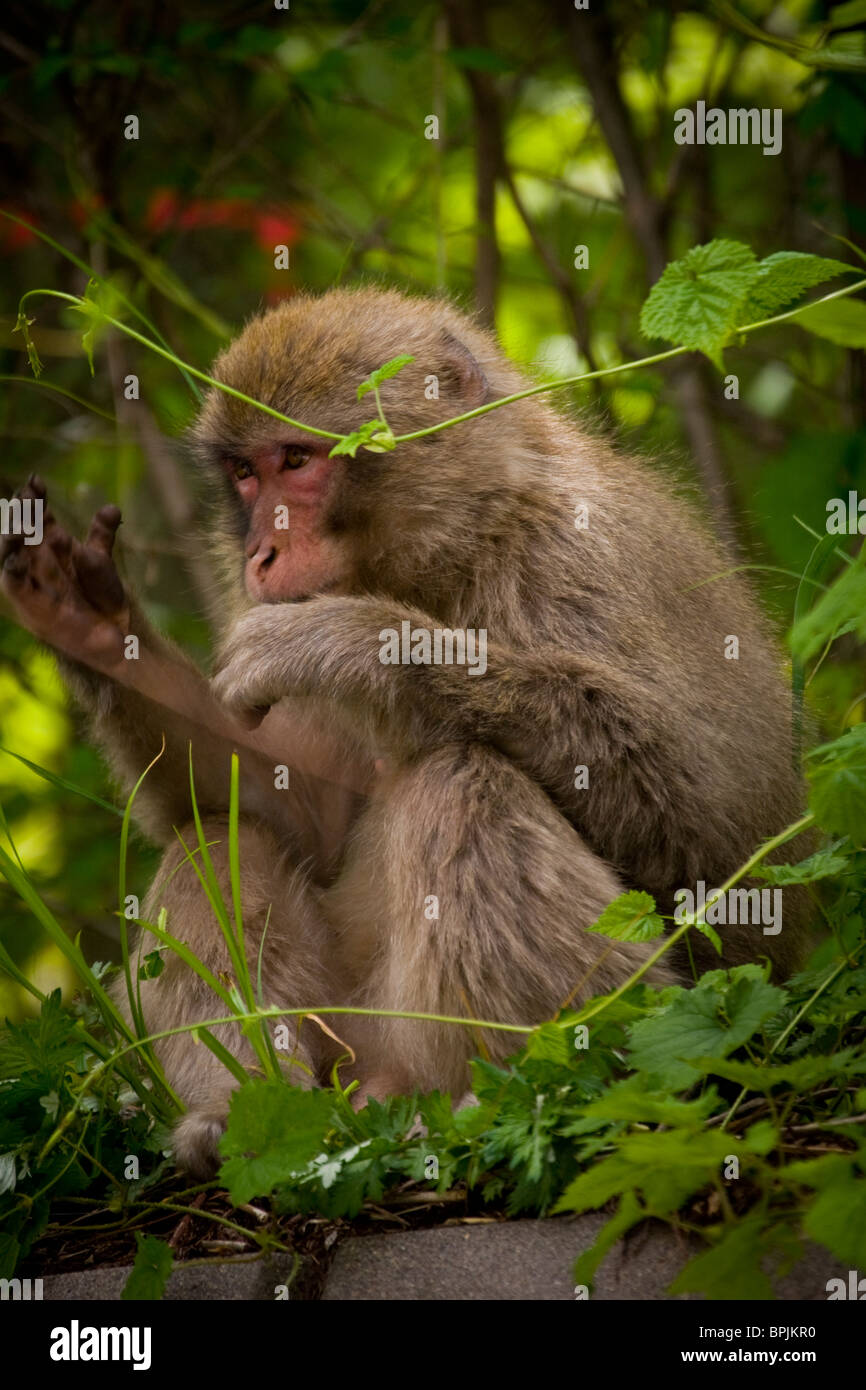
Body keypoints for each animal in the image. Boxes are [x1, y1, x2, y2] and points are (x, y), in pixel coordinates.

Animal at [0, 286, 810, 1176]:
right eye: (246, 472)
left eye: (296, 461)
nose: (259, 552)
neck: (463, 538)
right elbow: (299, 815)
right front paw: (93, 629)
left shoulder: (569, 561)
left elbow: (710, 840)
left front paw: (359, 644)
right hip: (346, 1034)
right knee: (216, 837)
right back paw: (240, 1114)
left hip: (631, 998)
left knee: (460, 781)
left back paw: (498, 1095)